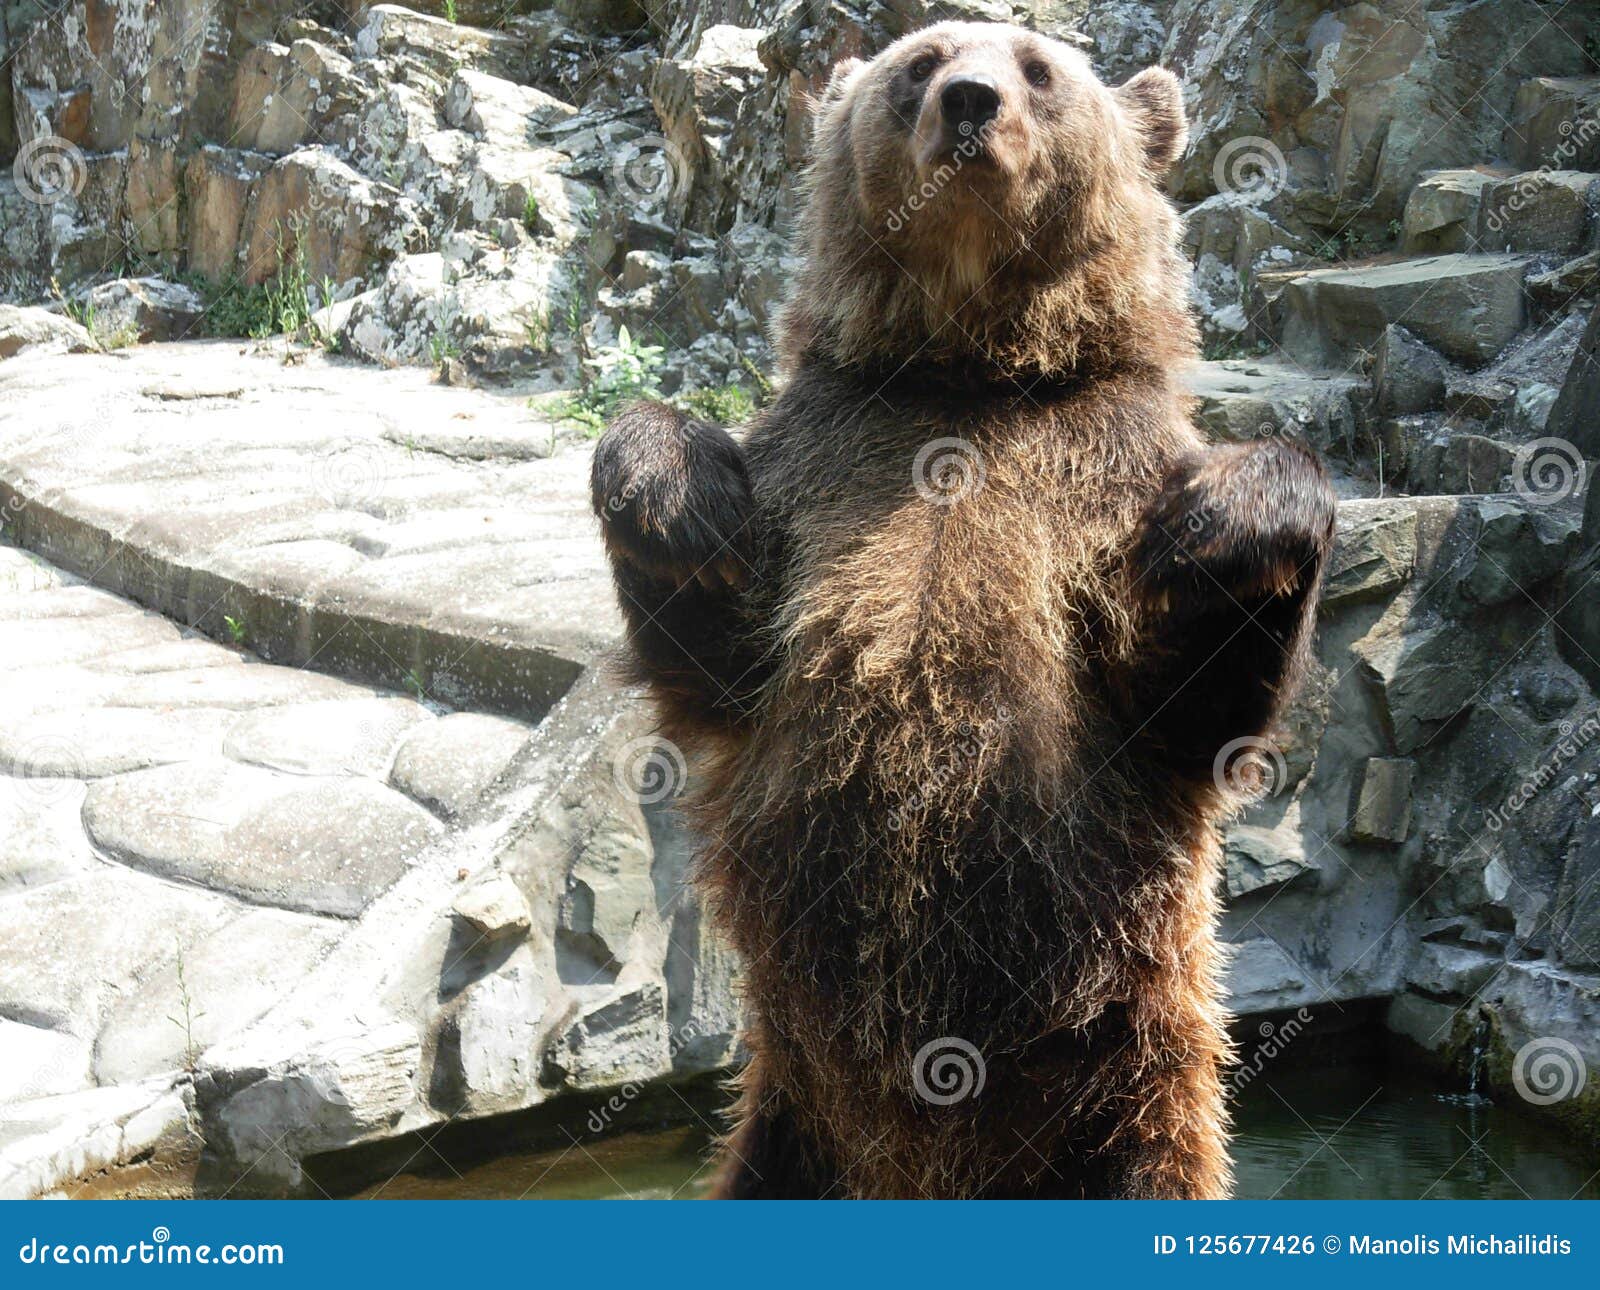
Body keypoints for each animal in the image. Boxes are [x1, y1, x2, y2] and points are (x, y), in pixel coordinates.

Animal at [589, 21, 1335, 1198]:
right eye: (922, 59)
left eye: (1037, 67)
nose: (971, 101)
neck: (970, 371)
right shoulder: (827, 463)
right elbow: (714, 653)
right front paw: (675, 496)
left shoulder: (1102, 484)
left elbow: (1190, 700)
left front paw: (1233, 523)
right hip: (788, 1124)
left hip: (1130, 1101)